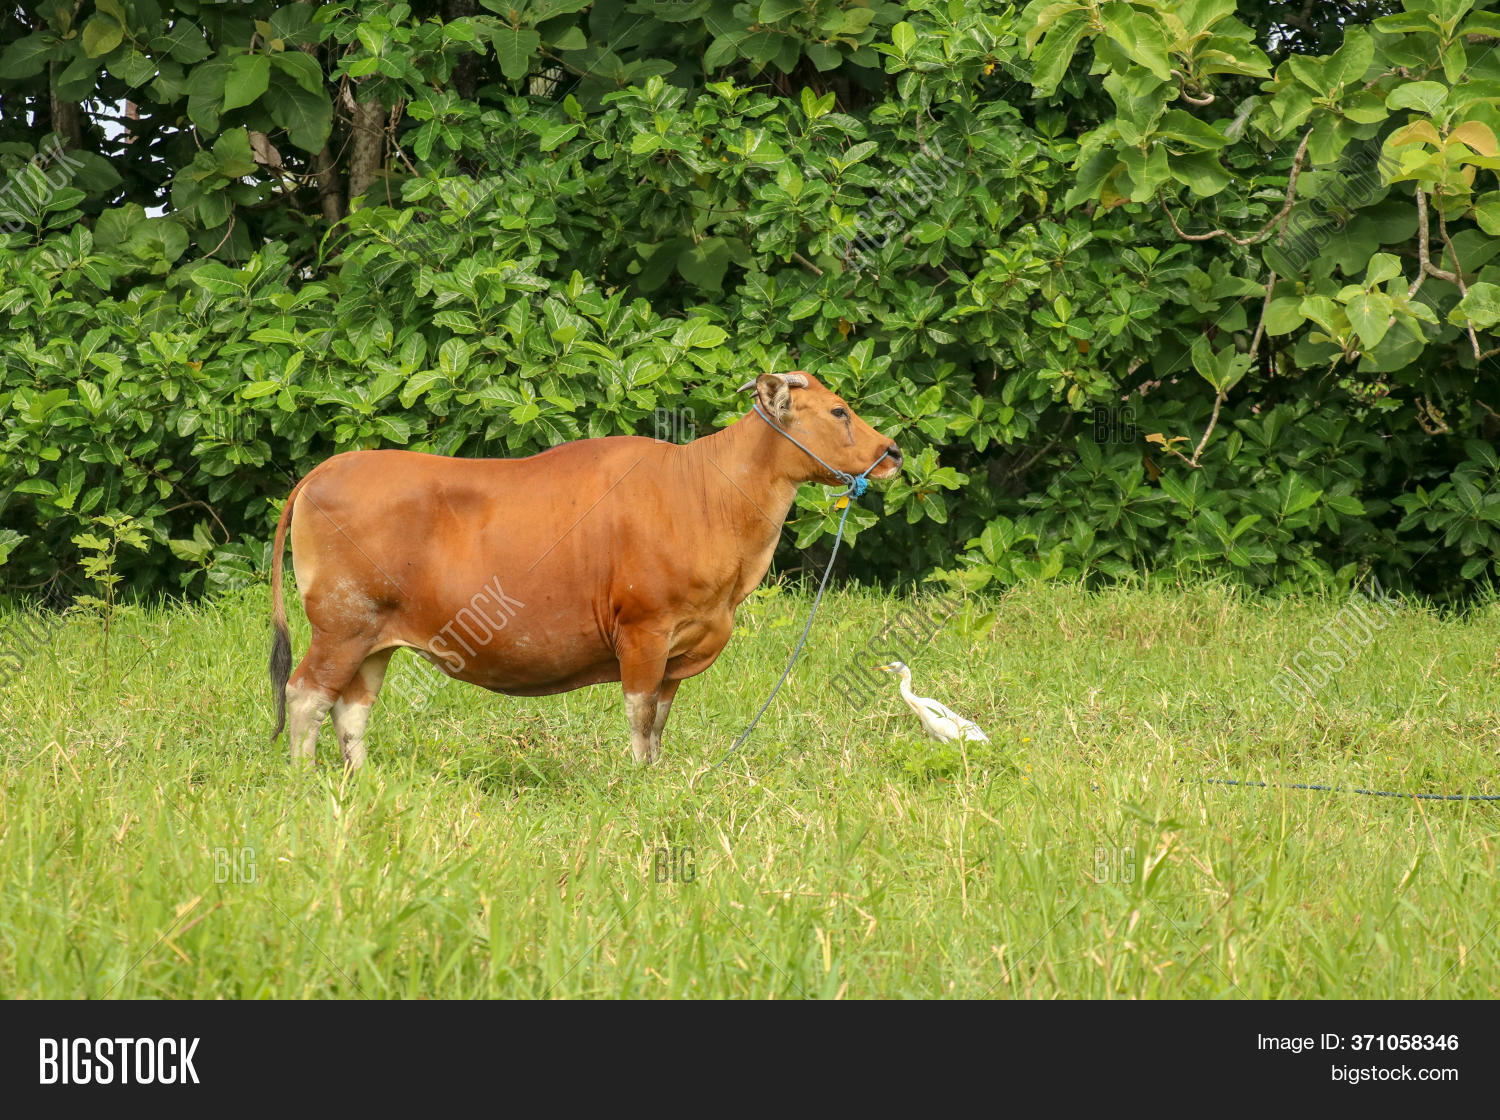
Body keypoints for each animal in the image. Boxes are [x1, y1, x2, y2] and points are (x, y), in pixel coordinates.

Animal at [268, 371, 903, 768]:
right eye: (840, 411)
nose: (893, 452)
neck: (703, 492)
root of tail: (324, 470)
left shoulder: (679, 648)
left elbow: (660, 722)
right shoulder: (644, 632)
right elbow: (639, 718)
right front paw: (639, 780)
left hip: (374, 636)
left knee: (351, 707)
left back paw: (357, 778)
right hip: (341, 626)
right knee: (304, 694)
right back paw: (303, 778)